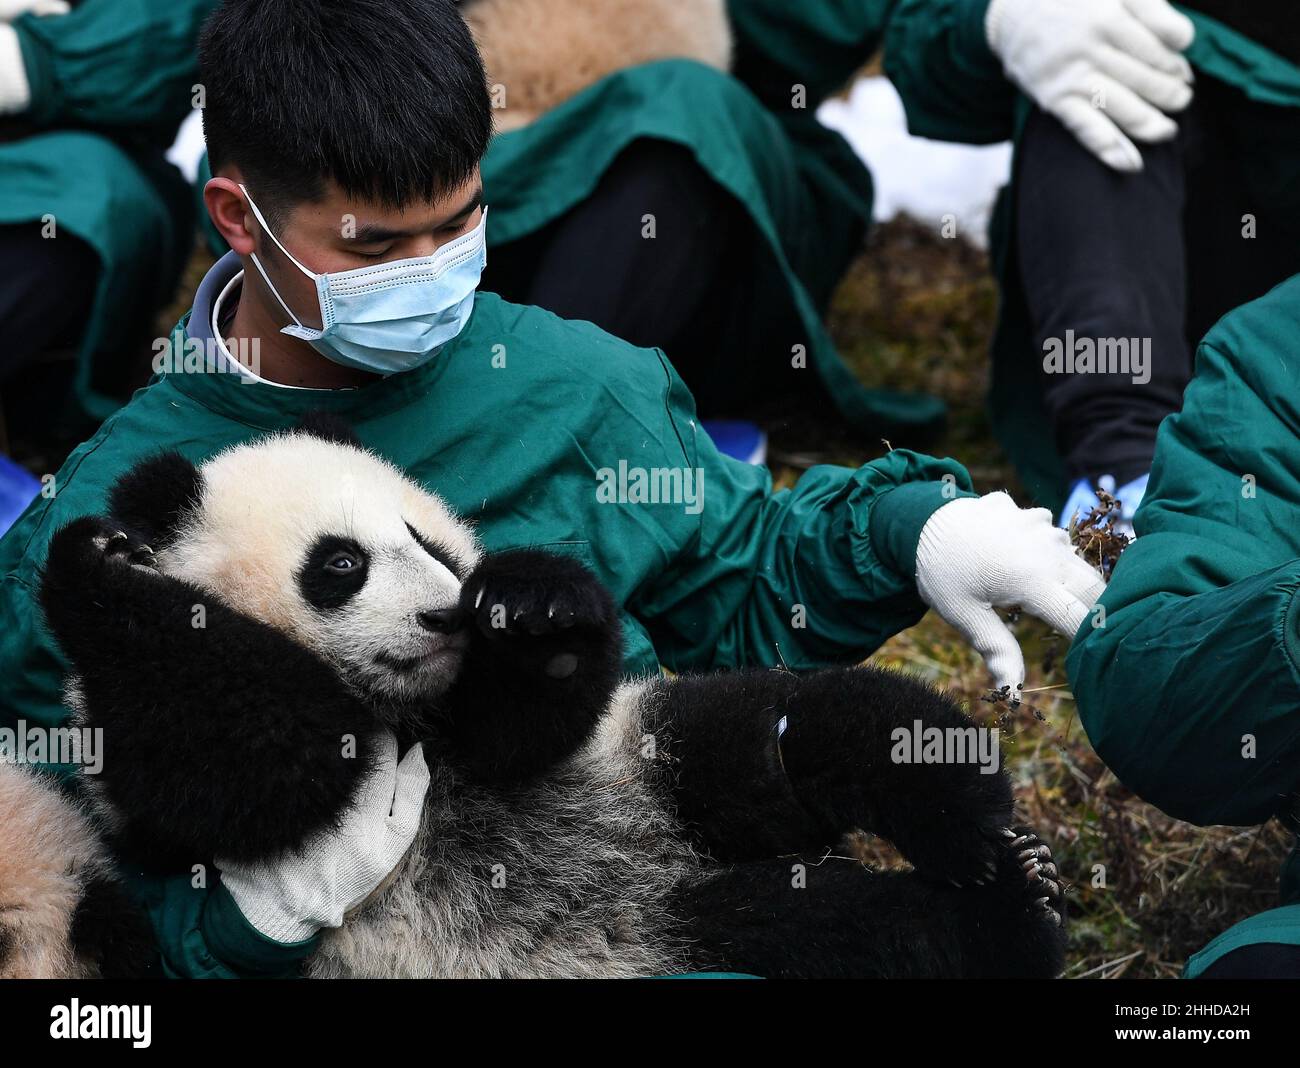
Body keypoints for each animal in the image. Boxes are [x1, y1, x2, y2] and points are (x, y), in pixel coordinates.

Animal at [35, 416, 1067, 978]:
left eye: (431, 544)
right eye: (341, 563)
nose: (445, 614)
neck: (399, 715)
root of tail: (655, 883)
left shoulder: (479, 728)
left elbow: (527, 727)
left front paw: (535, 604)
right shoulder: (147, 795)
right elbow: (255, 761)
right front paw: (98, 570)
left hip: (639, 753)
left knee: (779, 733)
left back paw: (968, 814)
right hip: (643, 945)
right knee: (829, 934)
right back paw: (1008, 915)